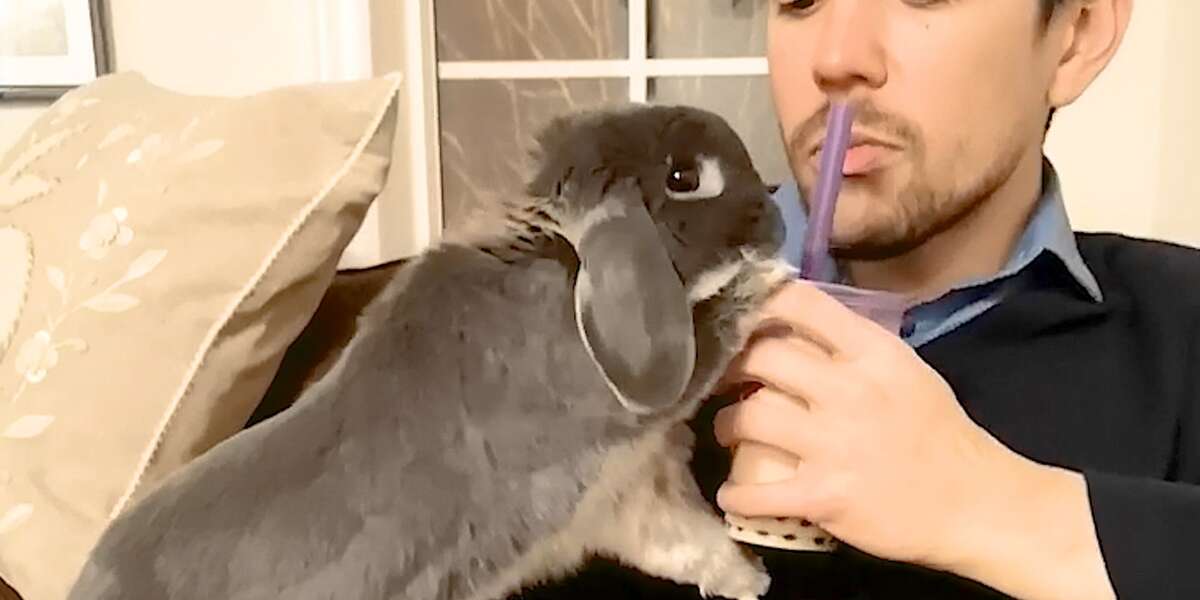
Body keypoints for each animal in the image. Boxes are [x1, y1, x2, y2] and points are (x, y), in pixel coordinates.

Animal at [66, 103, 798, 600]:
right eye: (684, 176)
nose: (777, 215)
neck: (563, 260)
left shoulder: (628, 497)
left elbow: (688, 543)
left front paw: (749, 578)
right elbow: (710, 342)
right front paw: (767, 279)